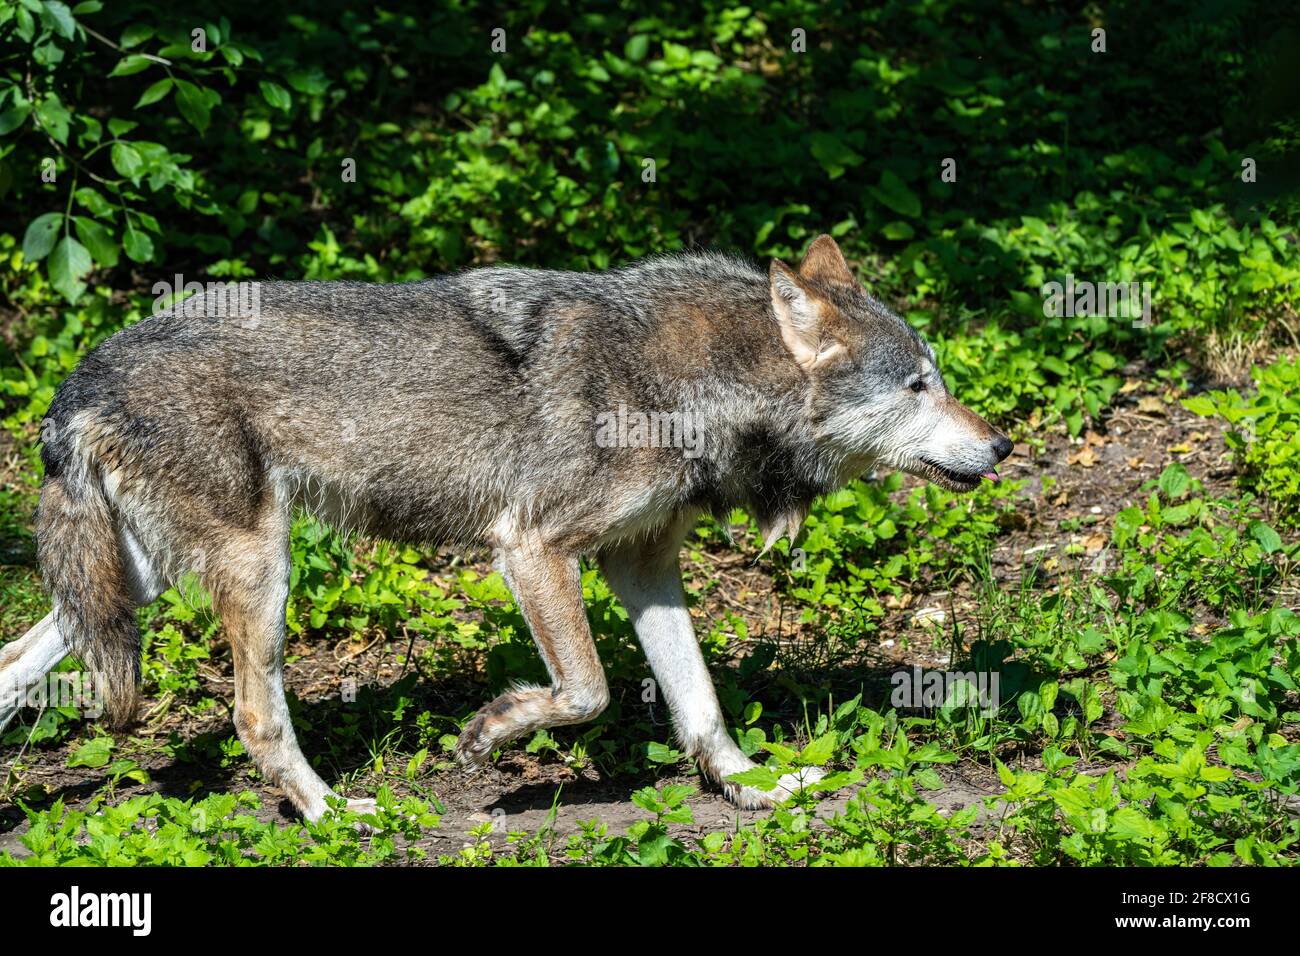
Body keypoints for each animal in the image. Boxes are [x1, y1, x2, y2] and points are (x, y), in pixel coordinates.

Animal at [0, 235, 1010, 820]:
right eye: (917, 386)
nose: (1001, 445)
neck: (689, 385)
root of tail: (81, 374)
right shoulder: (532, 551)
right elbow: (588, 692)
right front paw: (492, 735)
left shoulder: (642, 564)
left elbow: (700, 701)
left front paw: (750, 784)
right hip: (258, 570)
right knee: (255, 716)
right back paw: (335, 818)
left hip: (134, 585)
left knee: (15, 660)